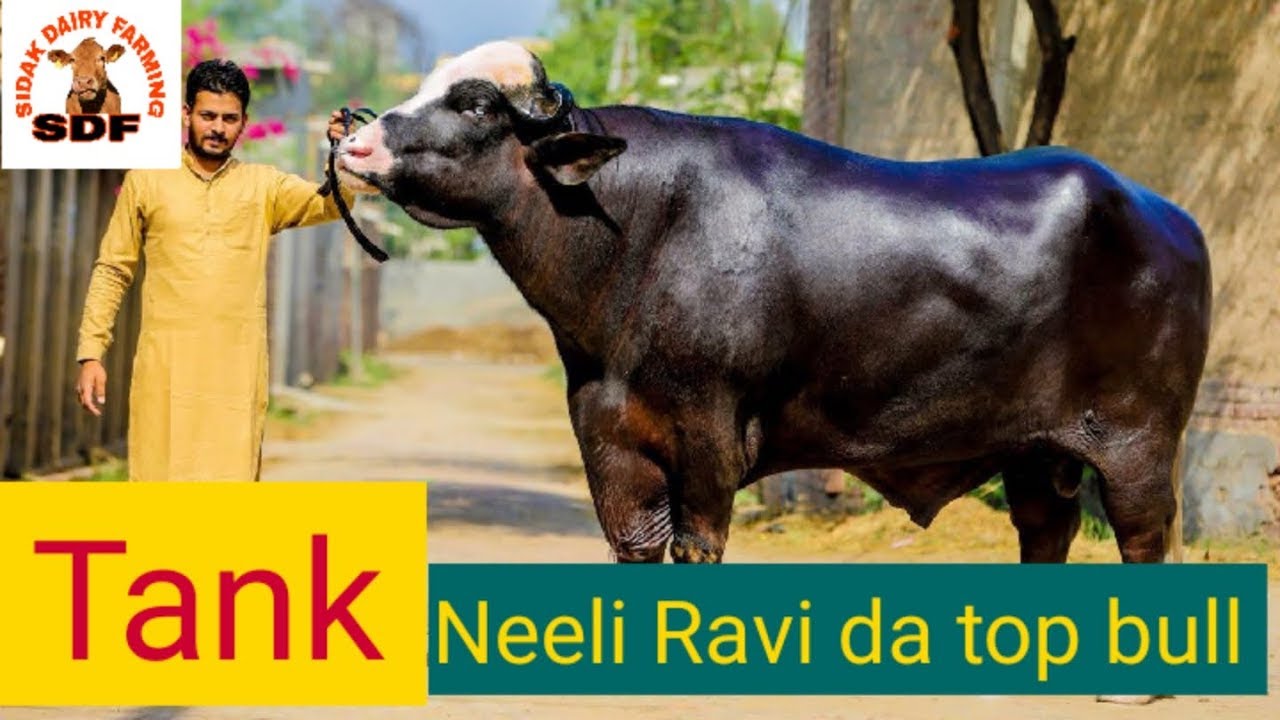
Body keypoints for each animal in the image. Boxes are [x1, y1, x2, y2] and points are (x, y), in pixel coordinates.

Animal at [334, 41, 1213, 567]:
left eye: (477, 105)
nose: (356, 140)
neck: (634, 237)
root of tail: (1166, 216)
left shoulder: (710, 438)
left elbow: (696, 545)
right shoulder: (605, 433)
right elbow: (635, 545)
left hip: (1136, 437)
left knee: (1143, 528)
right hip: (1033, 448)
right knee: (1045, 528)